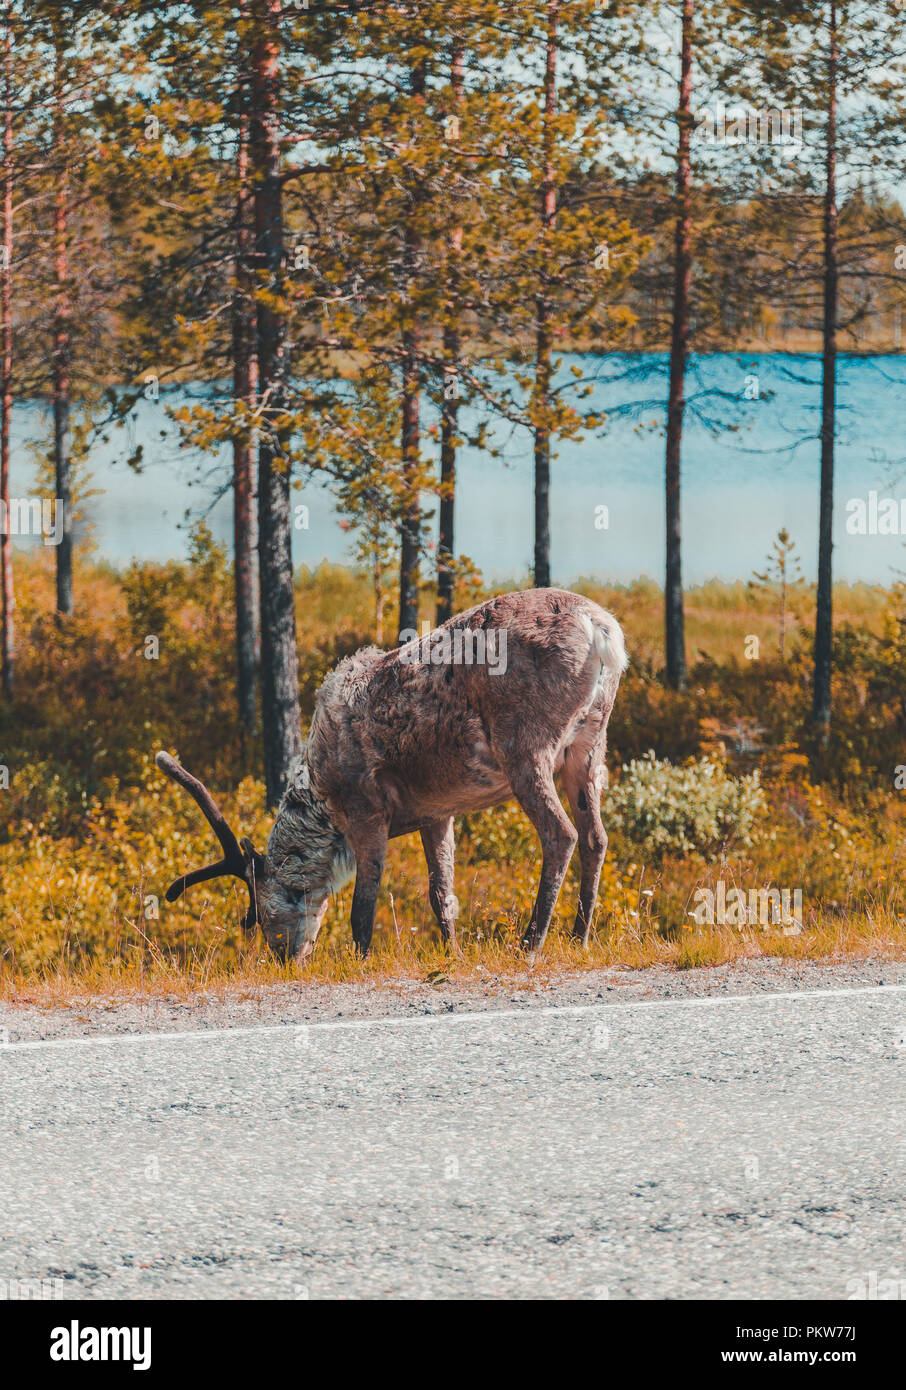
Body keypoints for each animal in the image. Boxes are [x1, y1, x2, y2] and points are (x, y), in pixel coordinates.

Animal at [155, 588, 627, 961]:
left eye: (264, 914)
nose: (286, 960)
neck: (323, 802)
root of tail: (601, 629)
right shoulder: (438, 812)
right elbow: (442, 896)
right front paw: (453, 954)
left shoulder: (366, 812)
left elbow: (363, 905)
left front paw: (360, 960)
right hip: (588, 748)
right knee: (596, 837)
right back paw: (579, 937)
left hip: (526, 747)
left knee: (561, 834)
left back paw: (530, 944)